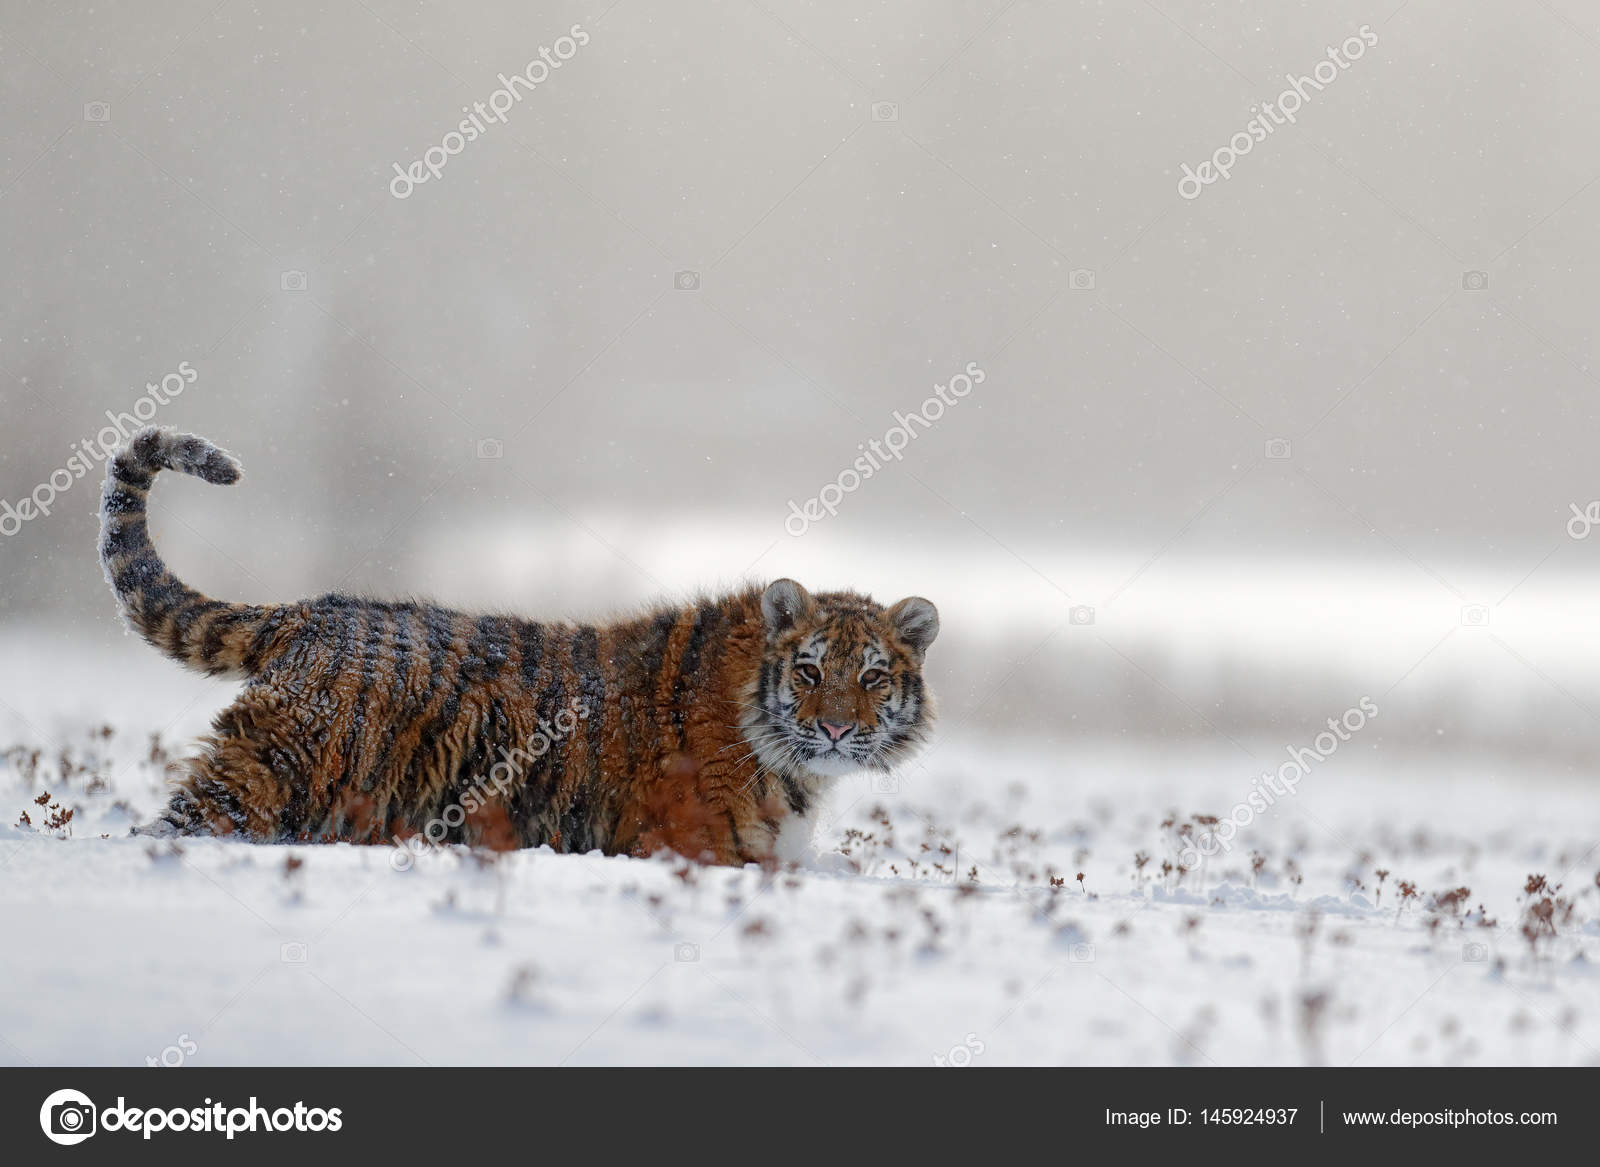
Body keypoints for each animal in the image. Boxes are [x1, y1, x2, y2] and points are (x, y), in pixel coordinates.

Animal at [99, 427, 939, 867]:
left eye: (872, 676)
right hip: (267, 778)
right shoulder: (690, 846)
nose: (837, 727)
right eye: (809, 670)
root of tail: (307, 612)